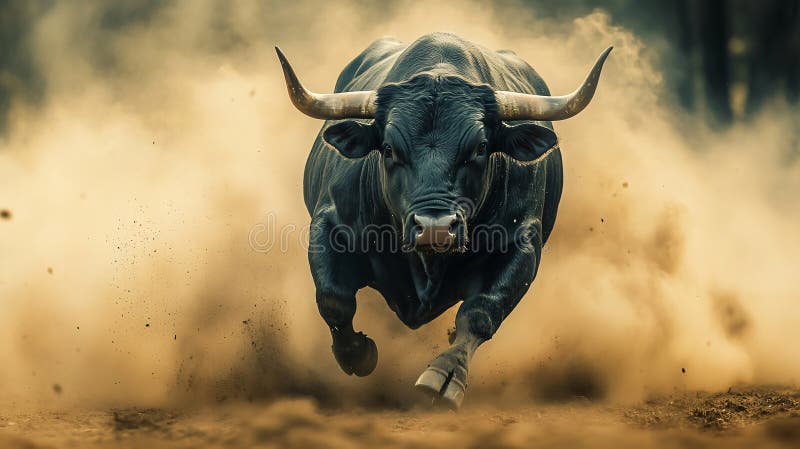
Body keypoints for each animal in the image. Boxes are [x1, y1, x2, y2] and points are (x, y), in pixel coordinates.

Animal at [276, 33, 611, 409]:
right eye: (388, 149)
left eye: (480, 147)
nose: (434, 228)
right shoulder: (329, 225)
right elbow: (334, 300)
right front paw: (358, 355)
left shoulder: (522, 245)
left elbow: (480, 313)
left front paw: (446, 374)